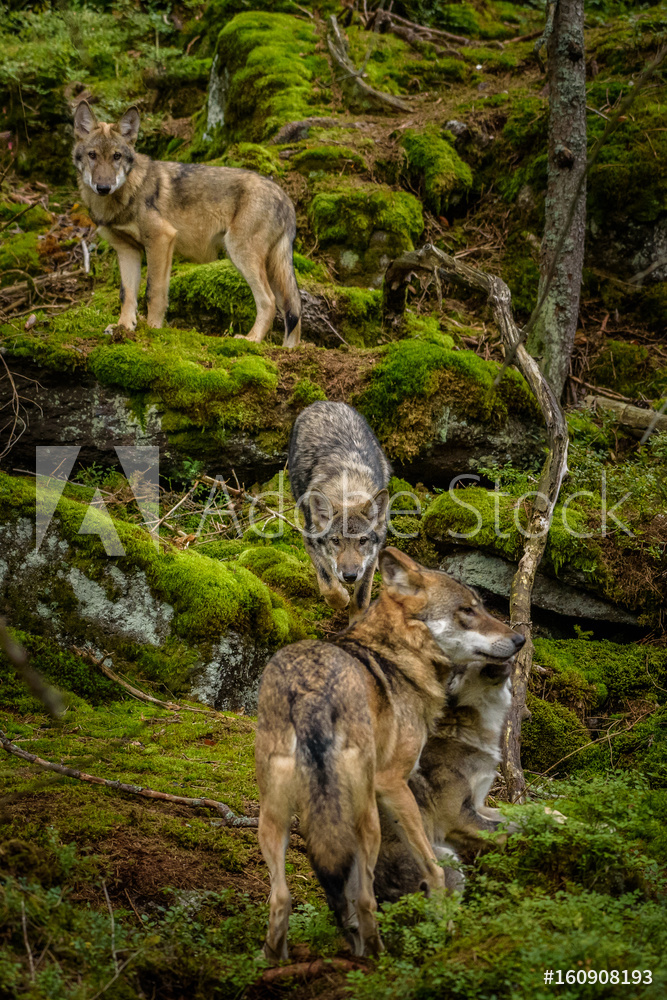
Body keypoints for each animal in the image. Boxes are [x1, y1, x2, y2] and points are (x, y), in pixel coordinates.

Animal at [72, 101, 302, 345]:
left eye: (116, 156)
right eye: (92, 155)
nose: (103, 187)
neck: (125, 196)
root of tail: (285, 197)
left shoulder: (161, 239)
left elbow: (154, 291)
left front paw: (152, 330)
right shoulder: (127, 251)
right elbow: (127, 295)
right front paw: (123, 328)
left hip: (241, 255)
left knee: (269, 302)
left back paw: (250, 339)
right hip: (267, 265)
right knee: (292, 308)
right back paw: (289, 348)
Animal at [288, 401, 391, 621]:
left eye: (362, 541)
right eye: (335, 541)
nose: (350, 576)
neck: (348, 488)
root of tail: (324, 403)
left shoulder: (371, 555)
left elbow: (361, 599)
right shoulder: (309, 539)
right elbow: (328, 585)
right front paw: (342, 599)